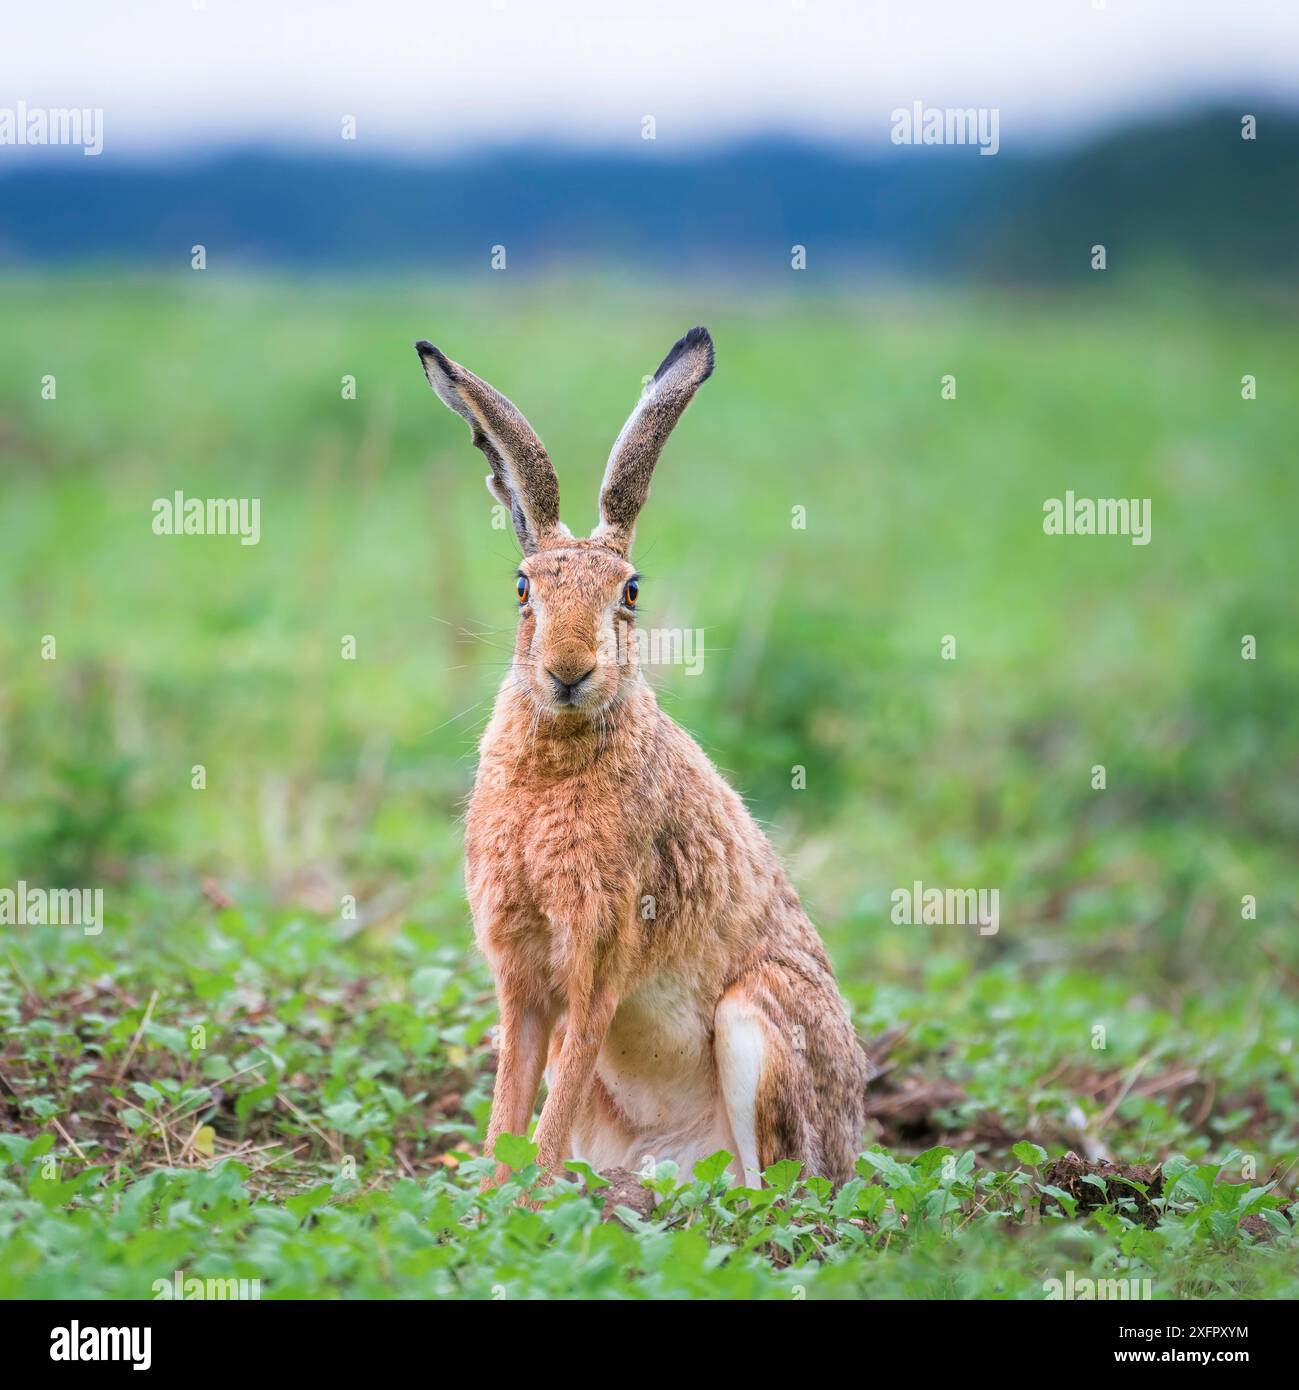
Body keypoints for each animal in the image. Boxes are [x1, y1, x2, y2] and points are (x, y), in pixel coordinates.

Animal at [415, 326, 869, 1189]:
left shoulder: (599, 957)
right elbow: (510, 1106)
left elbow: (549, 1109)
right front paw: (488, 1195)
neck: (560, 753)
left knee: (768, 1189)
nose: (568, 670)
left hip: (757, 1026)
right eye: (521, 588)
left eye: (629, 592)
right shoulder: (522, 981)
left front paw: (527, 1200)